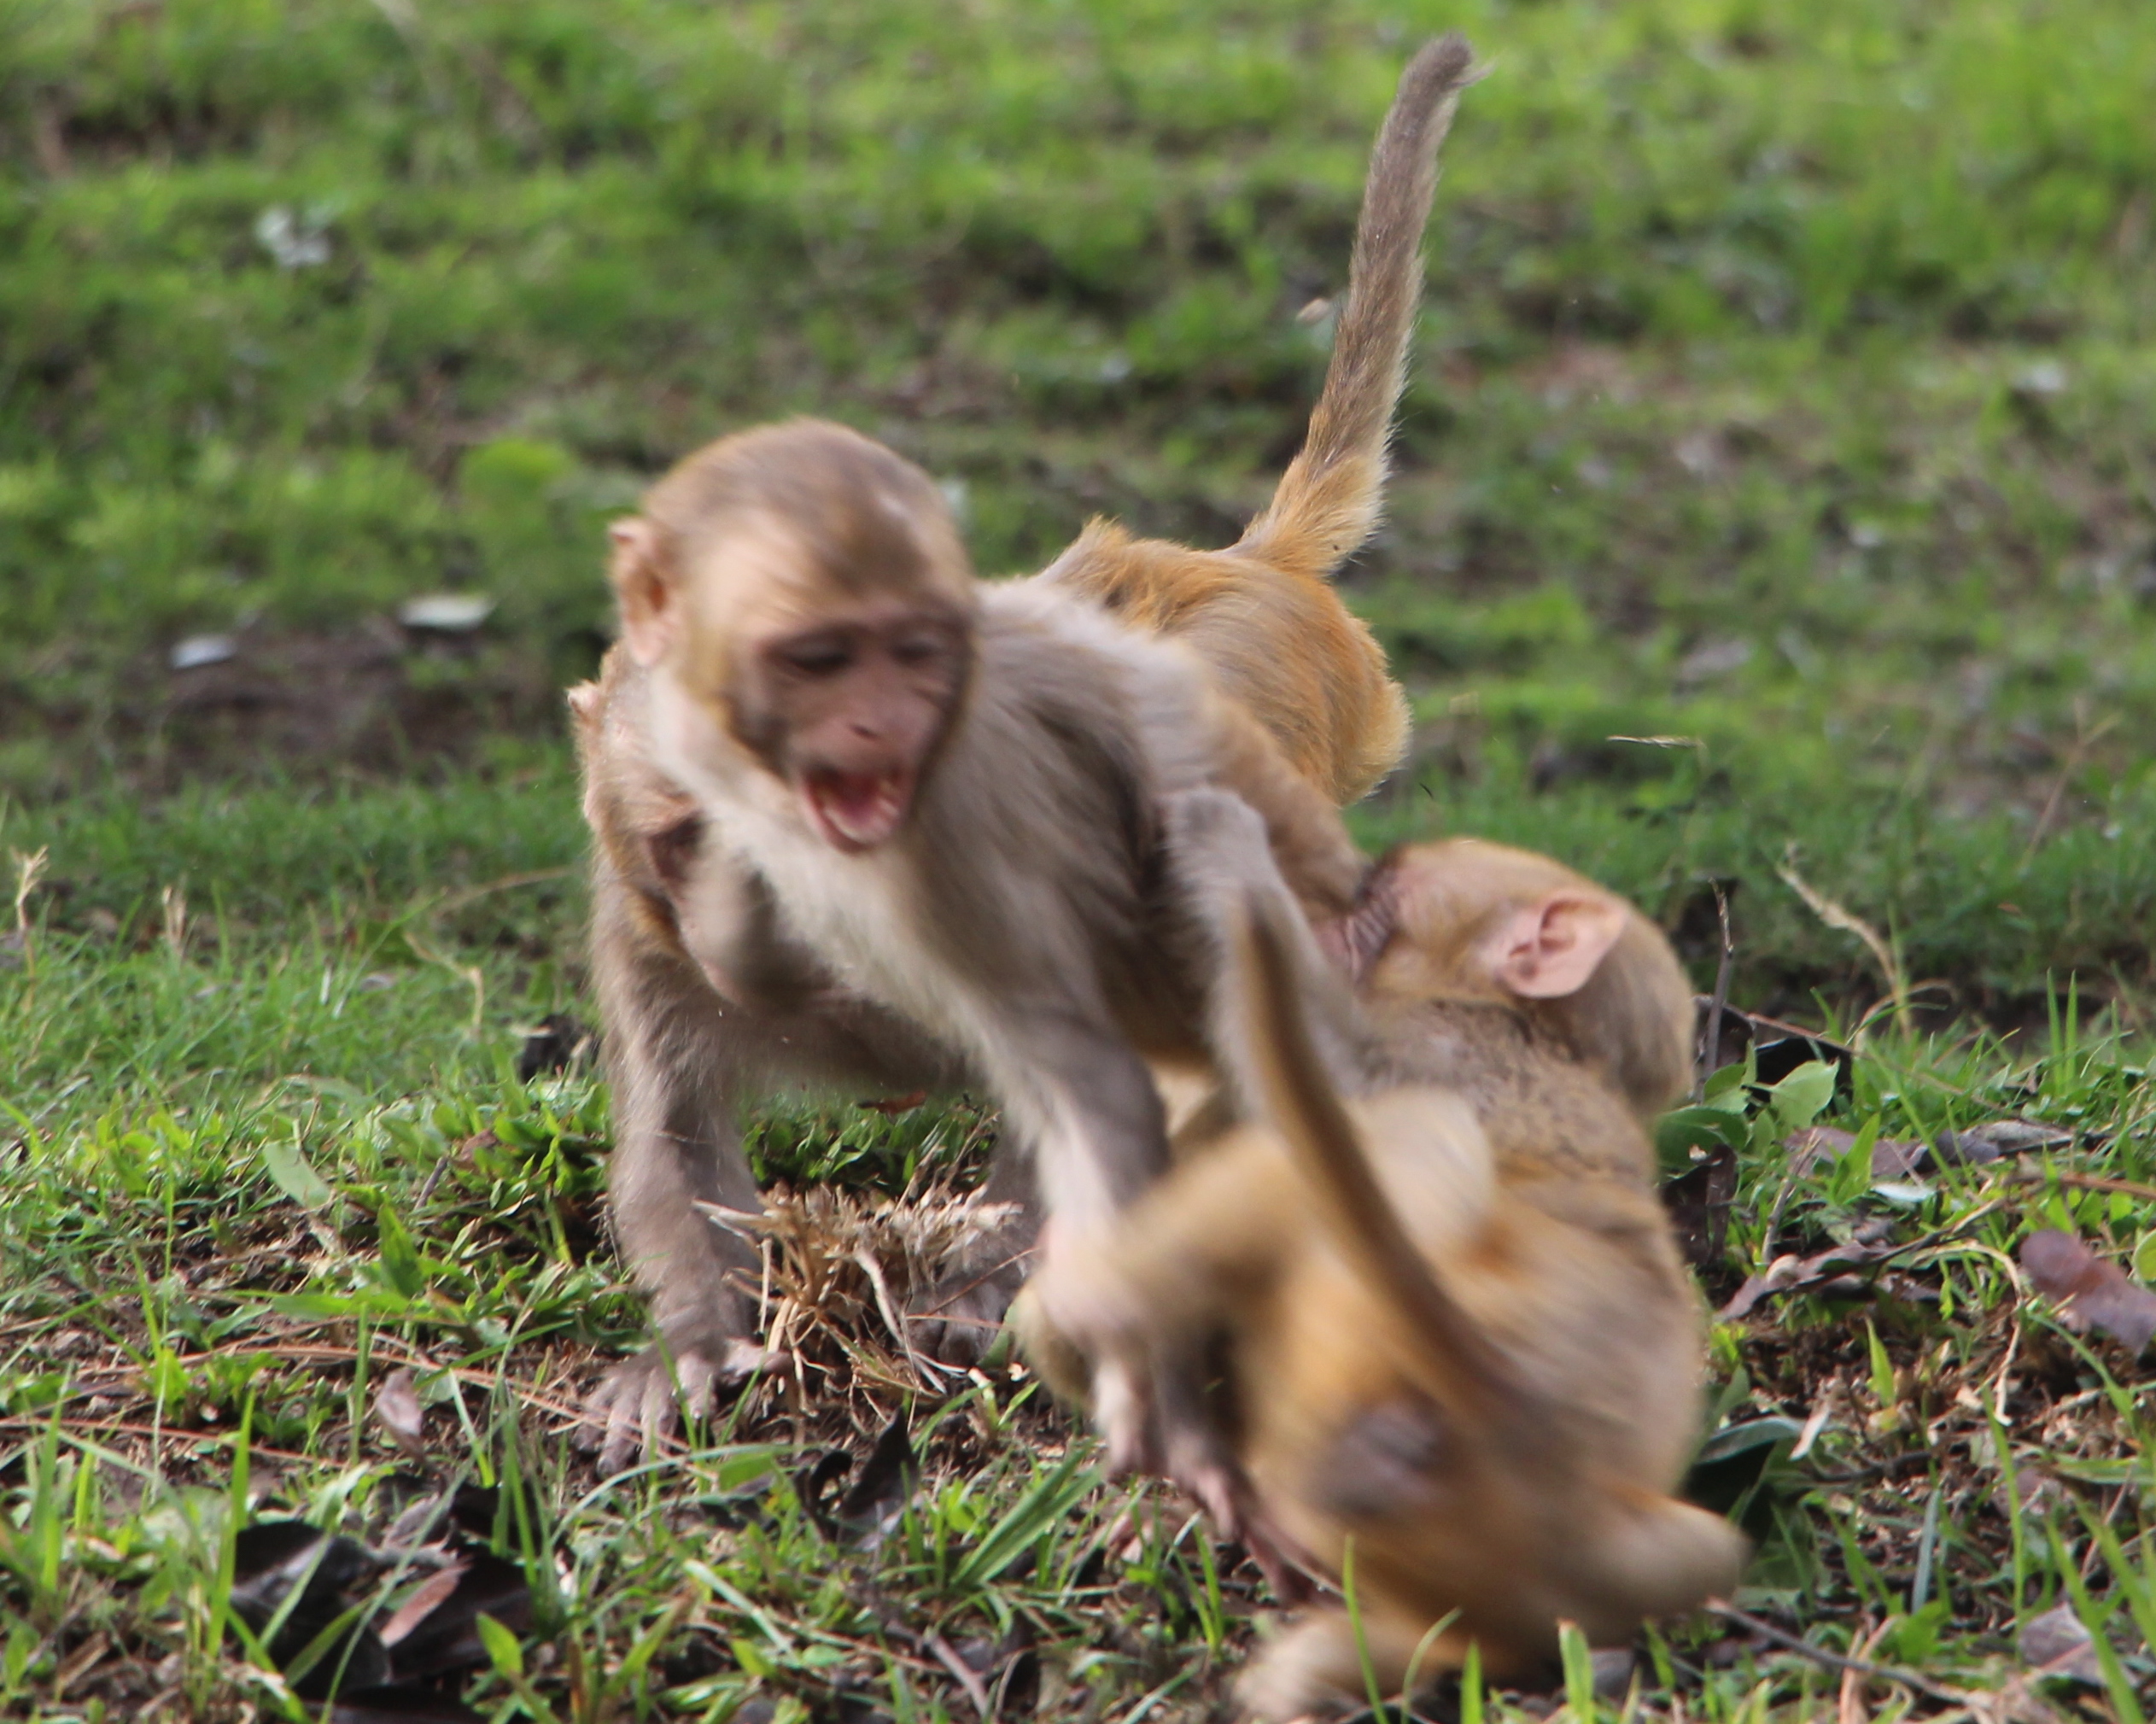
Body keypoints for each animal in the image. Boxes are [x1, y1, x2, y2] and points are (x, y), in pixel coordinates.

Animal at [574, 35, 1480, 1474]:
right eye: (681, 836)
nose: (751, 933)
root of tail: (1237, 565)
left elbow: (1103, 1059)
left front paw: (987, 1291)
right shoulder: (640, 927)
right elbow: (675, 1142)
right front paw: (681, 1352)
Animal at [1024, 800, 1746, 1719]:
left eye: (1383, 892)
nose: (1341, 890)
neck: (1532, 1023)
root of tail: (1518, 1432)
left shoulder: (1442, 1040)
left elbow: (1340, 1069)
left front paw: (1225, 853)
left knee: (1396, 1135)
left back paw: (1098, 1300)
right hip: (1618, 1562)